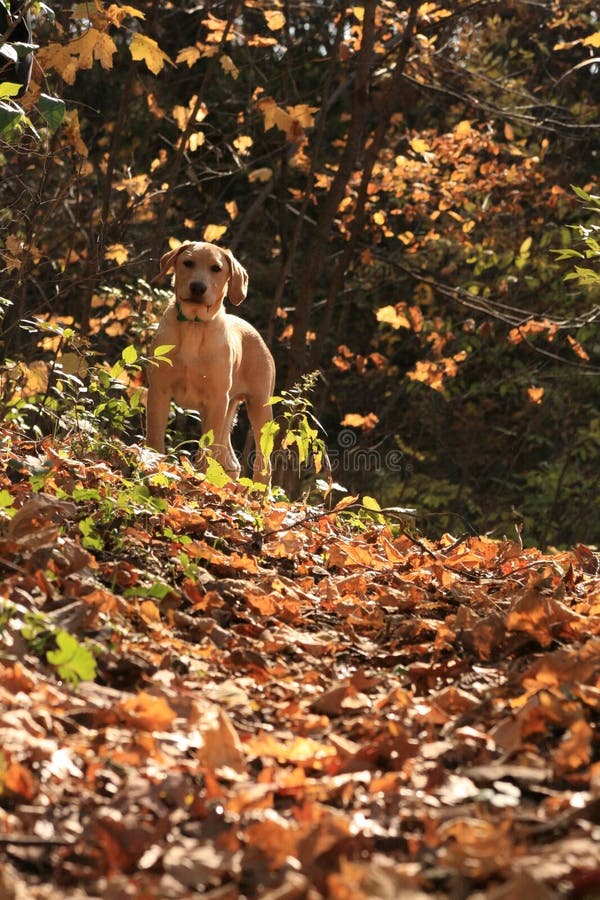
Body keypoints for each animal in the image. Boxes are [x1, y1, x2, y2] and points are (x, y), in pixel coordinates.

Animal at [146, 236, 276, 482]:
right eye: (188, 263)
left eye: (216, 268)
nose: (198, 287)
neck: (194, 325)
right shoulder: (159, 389)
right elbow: (155, 436)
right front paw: (152, 467)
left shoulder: (216, 399)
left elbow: (209, 446)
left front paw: (203, 477)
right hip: (229, 407)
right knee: (231, 460)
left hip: (258, 405)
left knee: (263, 462)